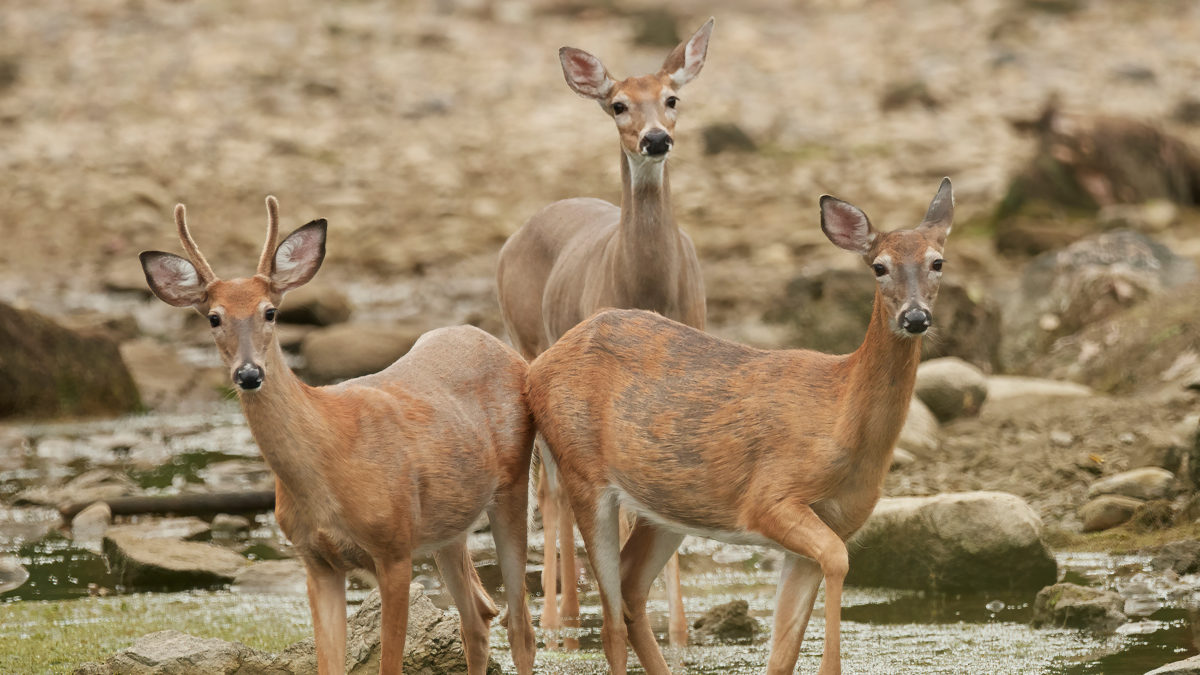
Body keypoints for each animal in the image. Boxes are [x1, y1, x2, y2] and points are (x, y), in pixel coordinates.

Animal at [139, 197, 537, 675]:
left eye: (270, 311)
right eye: (214, 317)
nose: (249, 374)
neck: (329, 461)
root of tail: (503, 349)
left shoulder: (394, 547)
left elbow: (390, 664)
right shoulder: (316, 561)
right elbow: (327, 663)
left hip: (513, 485)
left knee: (520, 625)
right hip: (449, 524)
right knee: (477, 616)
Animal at [495, 17, 714, 650]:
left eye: (672, 98)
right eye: (618, 104)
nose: (656, 139)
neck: (646, 288)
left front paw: (679, 633)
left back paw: (573, 614)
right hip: (530, 350)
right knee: (550, 486)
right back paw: (555, 621)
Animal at [525, 179, 955, 675]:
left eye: (937, 262)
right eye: (880, 266)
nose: (915, 317)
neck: (839, 416)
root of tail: (534, 369)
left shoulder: (834, 521)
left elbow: (783, 651)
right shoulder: (769, 497)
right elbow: (838, 561)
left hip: (668, 502)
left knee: (631, 588)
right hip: (583, 470)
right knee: (611, 617)